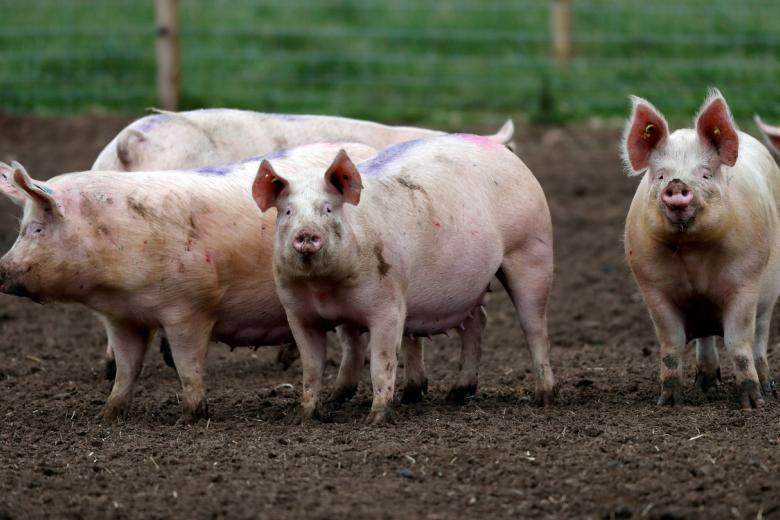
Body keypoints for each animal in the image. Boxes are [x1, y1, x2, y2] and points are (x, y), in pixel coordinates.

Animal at [0, 142, 378, 422]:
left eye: (37, 229)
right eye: (21, 228)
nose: (2, 270)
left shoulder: (188, 308)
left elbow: (187, 365)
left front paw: (190, 416)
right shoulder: (122, 319)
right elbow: (126, 369)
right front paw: (106, 415)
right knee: (352, 340)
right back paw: (338, 397)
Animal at [253, 134, 555, 424]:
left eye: (328, 209)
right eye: (288, 212)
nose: (306, 233)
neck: (323, 287)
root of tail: (507, 154)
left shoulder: (388, 306)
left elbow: (382, 362)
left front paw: (375, 419)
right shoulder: (298, 314)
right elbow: (312, 368)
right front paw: (304, 418)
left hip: (532, 250)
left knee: (535, 327)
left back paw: (544, 397)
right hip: (470, 288)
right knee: (477, 322)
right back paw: (456, 395)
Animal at [622, 89, 780, 409]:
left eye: (705, 174)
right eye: (660, 175)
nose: (676, 183)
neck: (692, 251)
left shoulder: (746, 280)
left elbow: (738, 342)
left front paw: (752, 404)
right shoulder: (652, 286)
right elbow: (671, 343)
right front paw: (668, 403)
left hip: (769, 296)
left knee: (759, 338)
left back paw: (768, 388)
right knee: (705, 339)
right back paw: (707, 385)